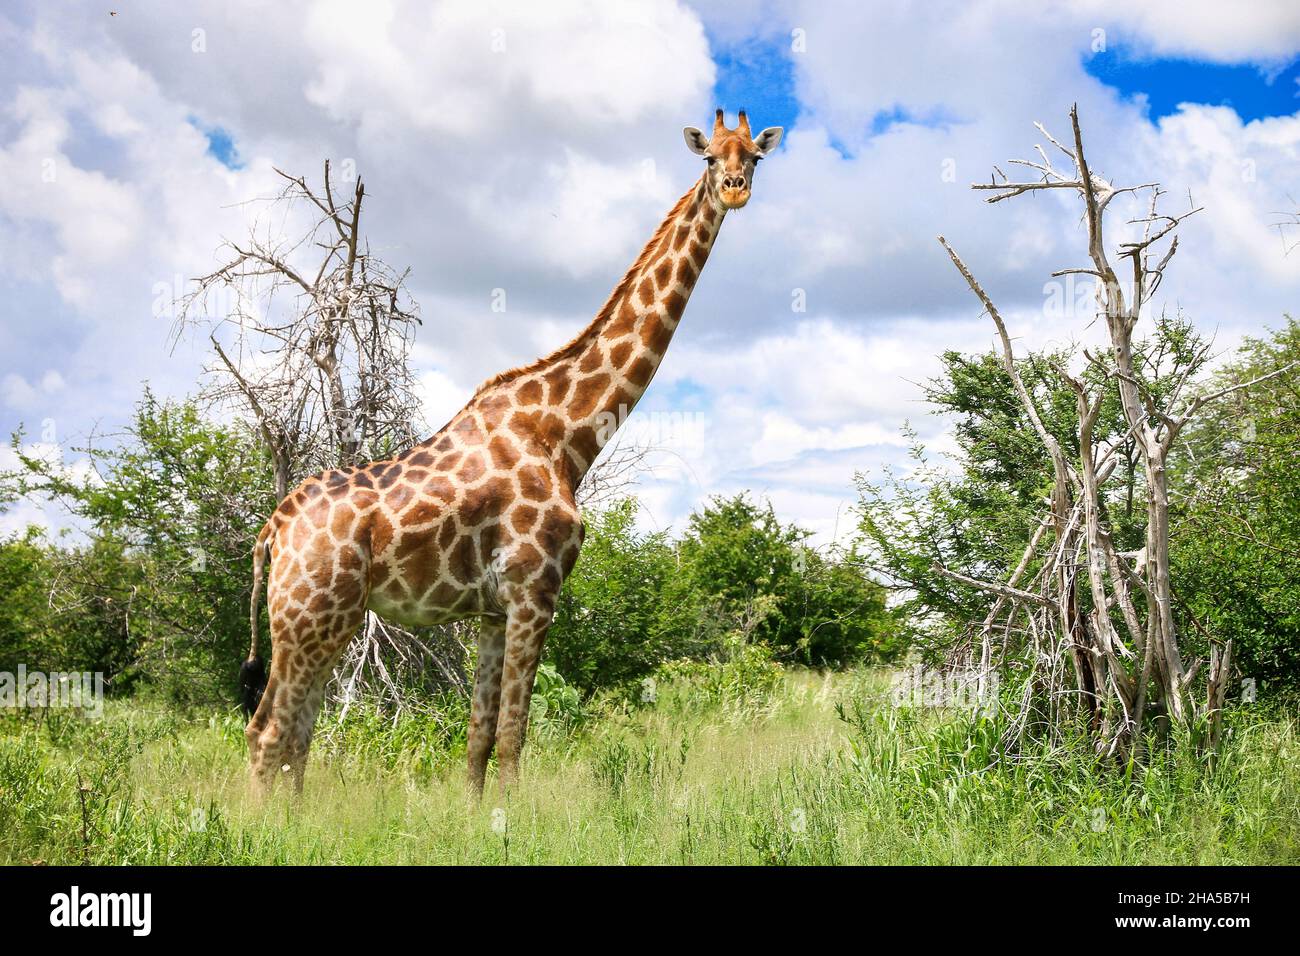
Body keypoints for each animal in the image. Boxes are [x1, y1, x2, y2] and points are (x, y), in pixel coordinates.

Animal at [242, 110, 783, 795]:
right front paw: (506, 816)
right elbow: (513, 737)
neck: (566, 435)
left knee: (295, 736)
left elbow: (478, 739)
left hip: (326, 622)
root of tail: (272, 530)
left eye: (754, 157)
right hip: (309, 619)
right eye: (710, 157)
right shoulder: (535, 590)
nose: (736, 189)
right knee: (268, 734)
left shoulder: (494, 611)